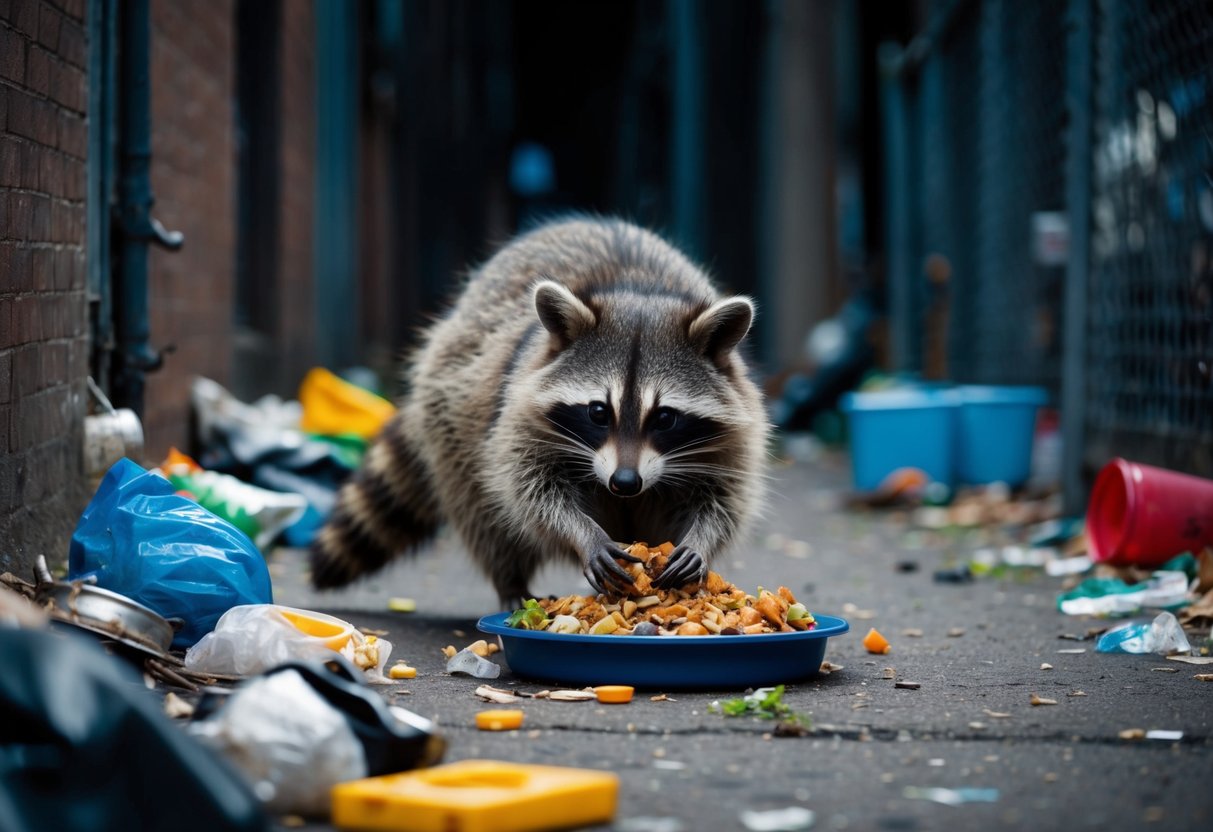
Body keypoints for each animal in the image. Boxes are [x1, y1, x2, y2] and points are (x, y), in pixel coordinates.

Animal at [310, 217, 769, 606]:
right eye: (598, 412)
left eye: (665, 418)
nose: (624, 483)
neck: (637, 292)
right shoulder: (517, 412)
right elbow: (530, 490)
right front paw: (582, 532)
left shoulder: (733, 431)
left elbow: (725, 499)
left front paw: (700, 540)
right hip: (453, 416)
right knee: (486, 517)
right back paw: (510, 581)